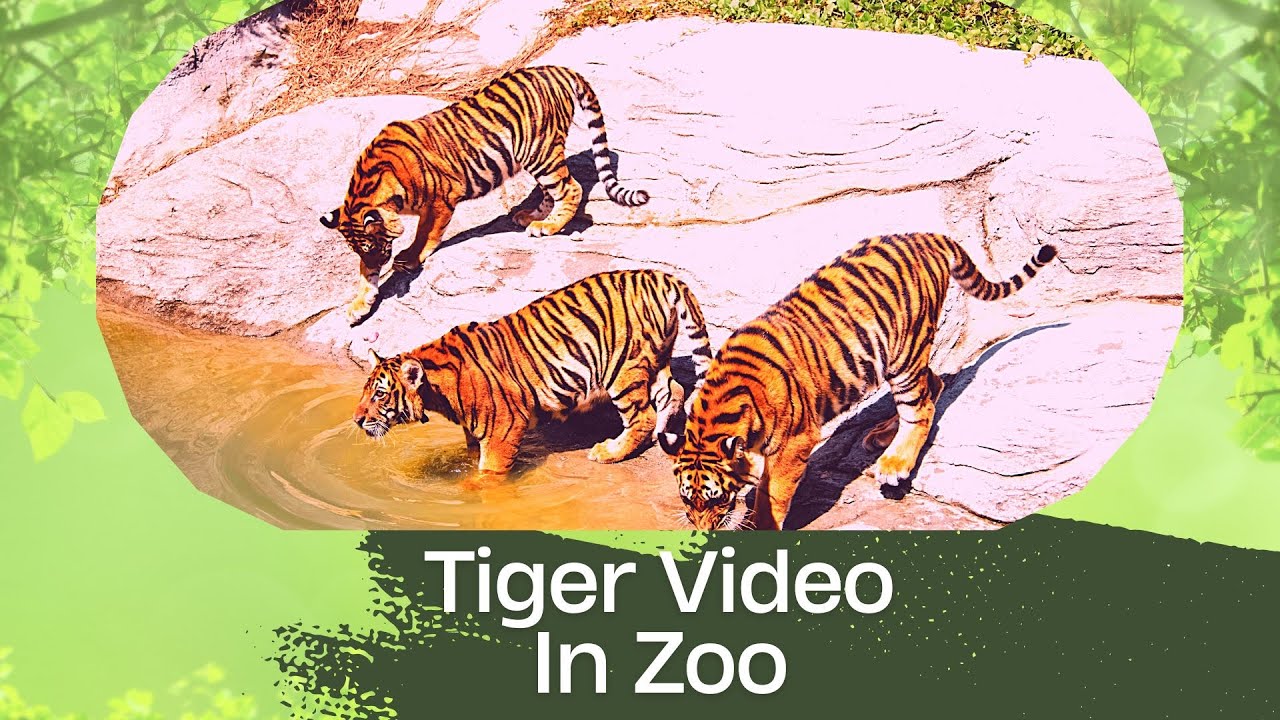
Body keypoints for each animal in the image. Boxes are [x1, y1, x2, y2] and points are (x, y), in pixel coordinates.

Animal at [320, 65, 650, 326]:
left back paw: (547, 227)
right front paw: (359, 304)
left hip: (539, 151)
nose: (379, 262)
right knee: (551, 191)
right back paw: (529, 217)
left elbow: (425, 234)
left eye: (372, 246)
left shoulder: (439, 201)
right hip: (538, 156)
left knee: (572, 188)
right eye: (361, 250)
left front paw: (408, 258)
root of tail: (559, 69)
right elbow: (364, 274)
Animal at [353, 269, 711, 489]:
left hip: (624, 368)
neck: (436, 389)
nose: (356, 420)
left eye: (380, 394)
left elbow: (490, 472)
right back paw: (664, 433)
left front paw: (473, 489)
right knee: (674, 390)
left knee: (643, 416)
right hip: (656, 358)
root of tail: (660, 276)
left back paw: (609, 451)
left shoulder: (504, 427)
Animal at [659, 232, 1058, 531]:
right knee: (933, 383)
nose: (701, 529)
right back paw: (881, 436)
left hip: (904, 351)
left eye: (716, 498)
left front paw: (761, 525)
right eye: (687, 499)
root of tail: (928, 235)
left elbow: (773, 496)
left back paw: (895, 463)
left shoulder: (794, 444)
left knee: (921, 407)